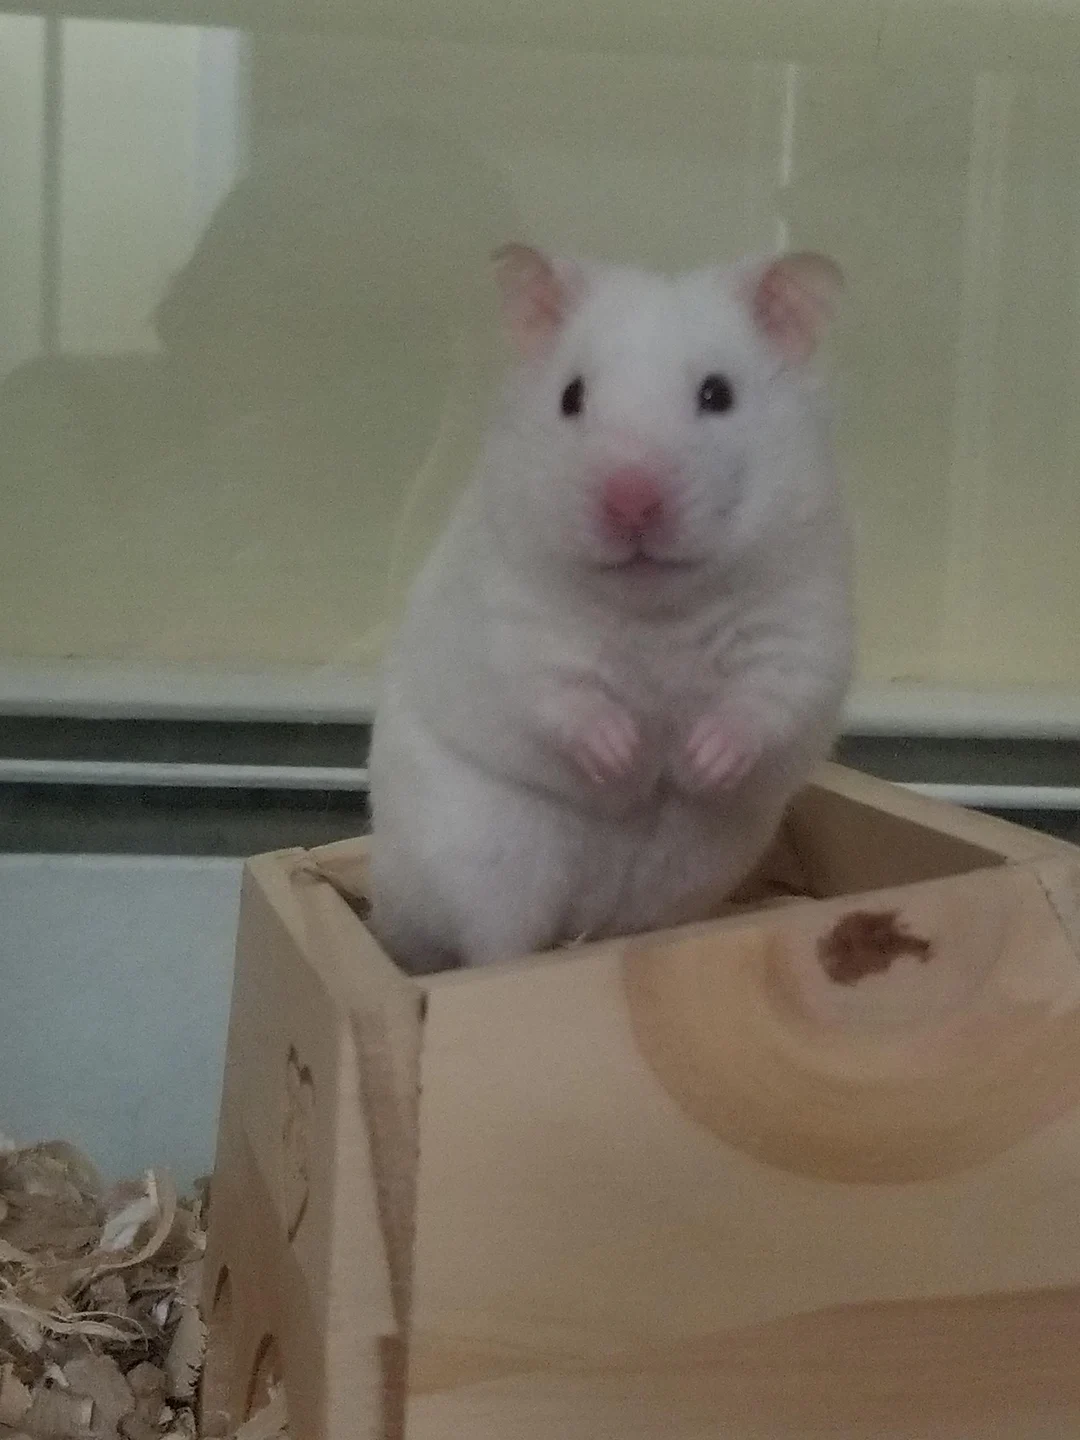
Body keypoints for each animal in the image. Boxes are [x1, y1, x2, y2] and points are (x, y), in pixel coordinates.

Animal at [367, 243, 853, 974]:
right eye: (571, 397)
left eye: (717, 394)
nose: (631, 501)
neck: (658, 607)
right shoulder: (517, 627)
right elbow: (562, 698)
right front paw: (624, 758)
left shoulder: (798, 629)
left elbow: (761, 703)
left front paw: (700, 761)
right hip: (492, 862)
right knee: (491, 948)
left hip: (686, 877)